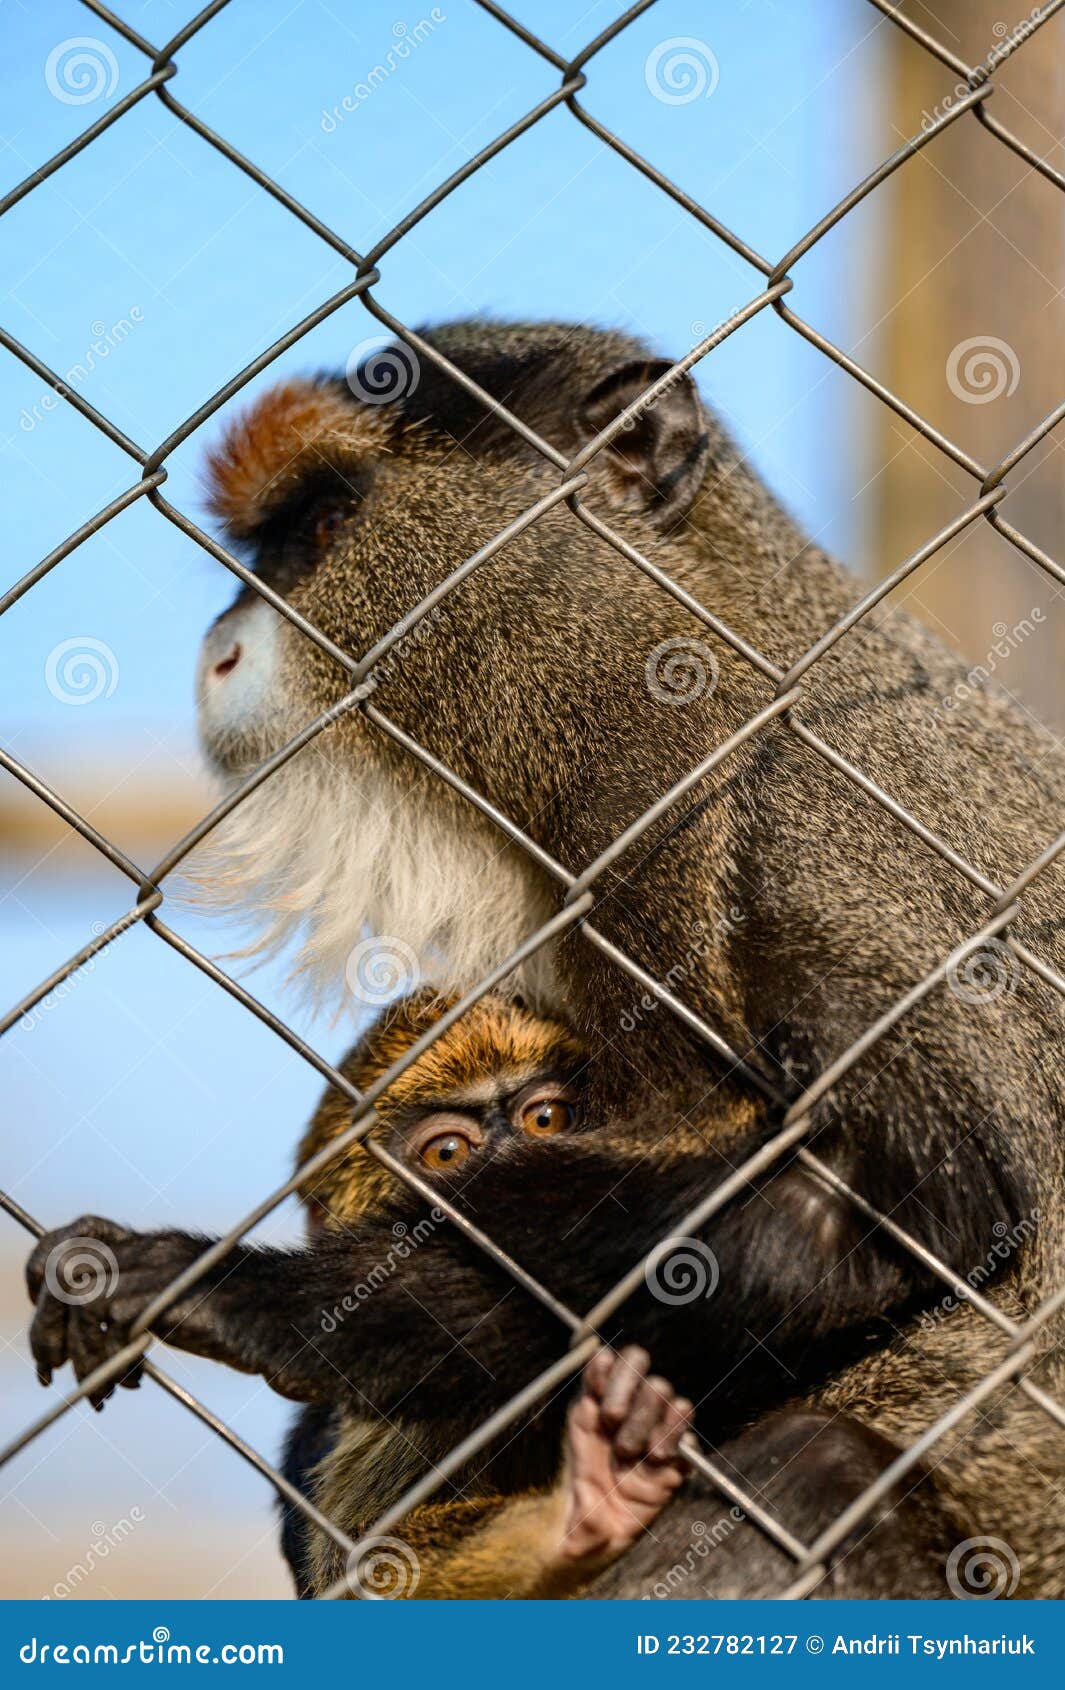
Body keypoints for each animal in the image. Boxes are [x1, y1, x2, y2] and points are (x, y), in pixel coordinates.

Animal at [26, 318, 1065, 1593]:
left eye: (320, 527)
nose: (219, 649)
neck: (720, 666)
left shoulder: (795, 842)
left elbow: (902, 1206)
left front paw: (258, 1296)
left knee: (812, 1471)